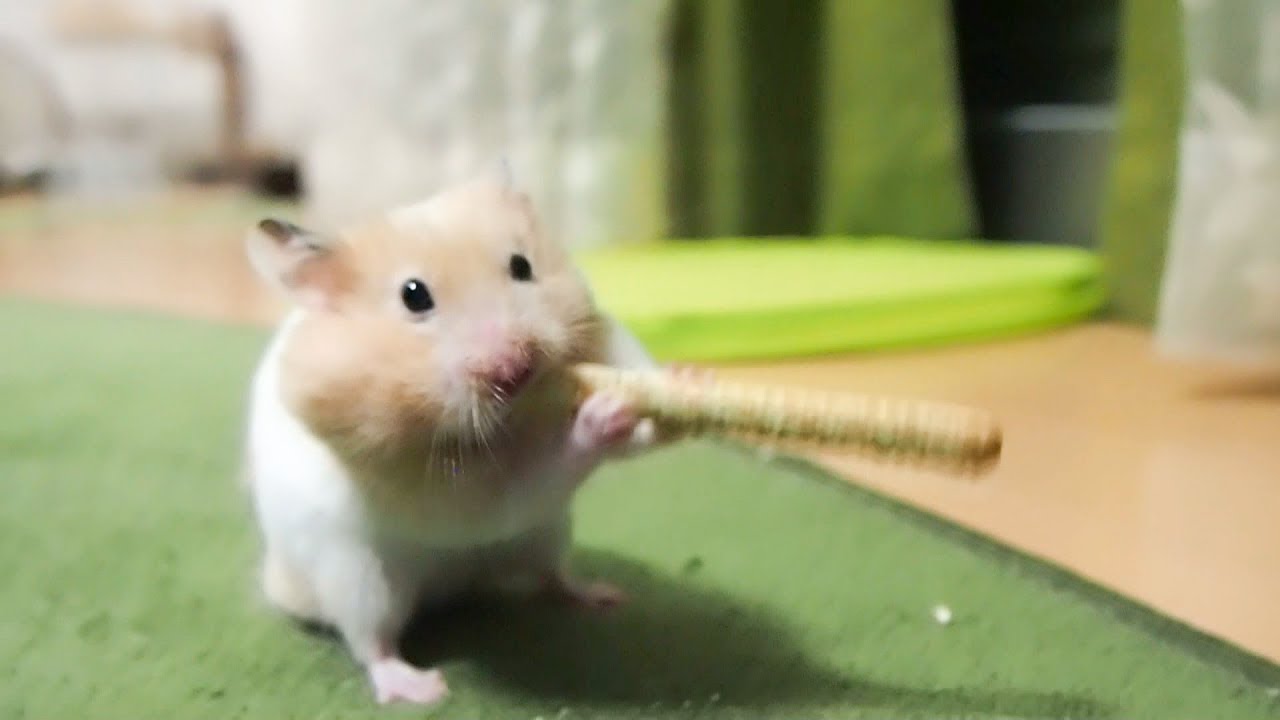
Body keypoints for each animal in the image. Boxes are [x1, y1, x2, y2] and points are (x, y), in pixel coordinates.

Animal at [241, 174, 672, 706]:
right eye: (414, 296)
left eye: (522, 266)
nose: (516, 366)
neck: (514, 418)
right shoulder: (451, 494)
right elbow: (530, 477)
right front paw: (603, 414)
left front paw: (671, 389)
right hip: (357, 579)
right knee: (370, 642)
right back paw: (423, 689)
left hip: (547, 534)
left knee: (551, 578)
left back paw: (604, 596)